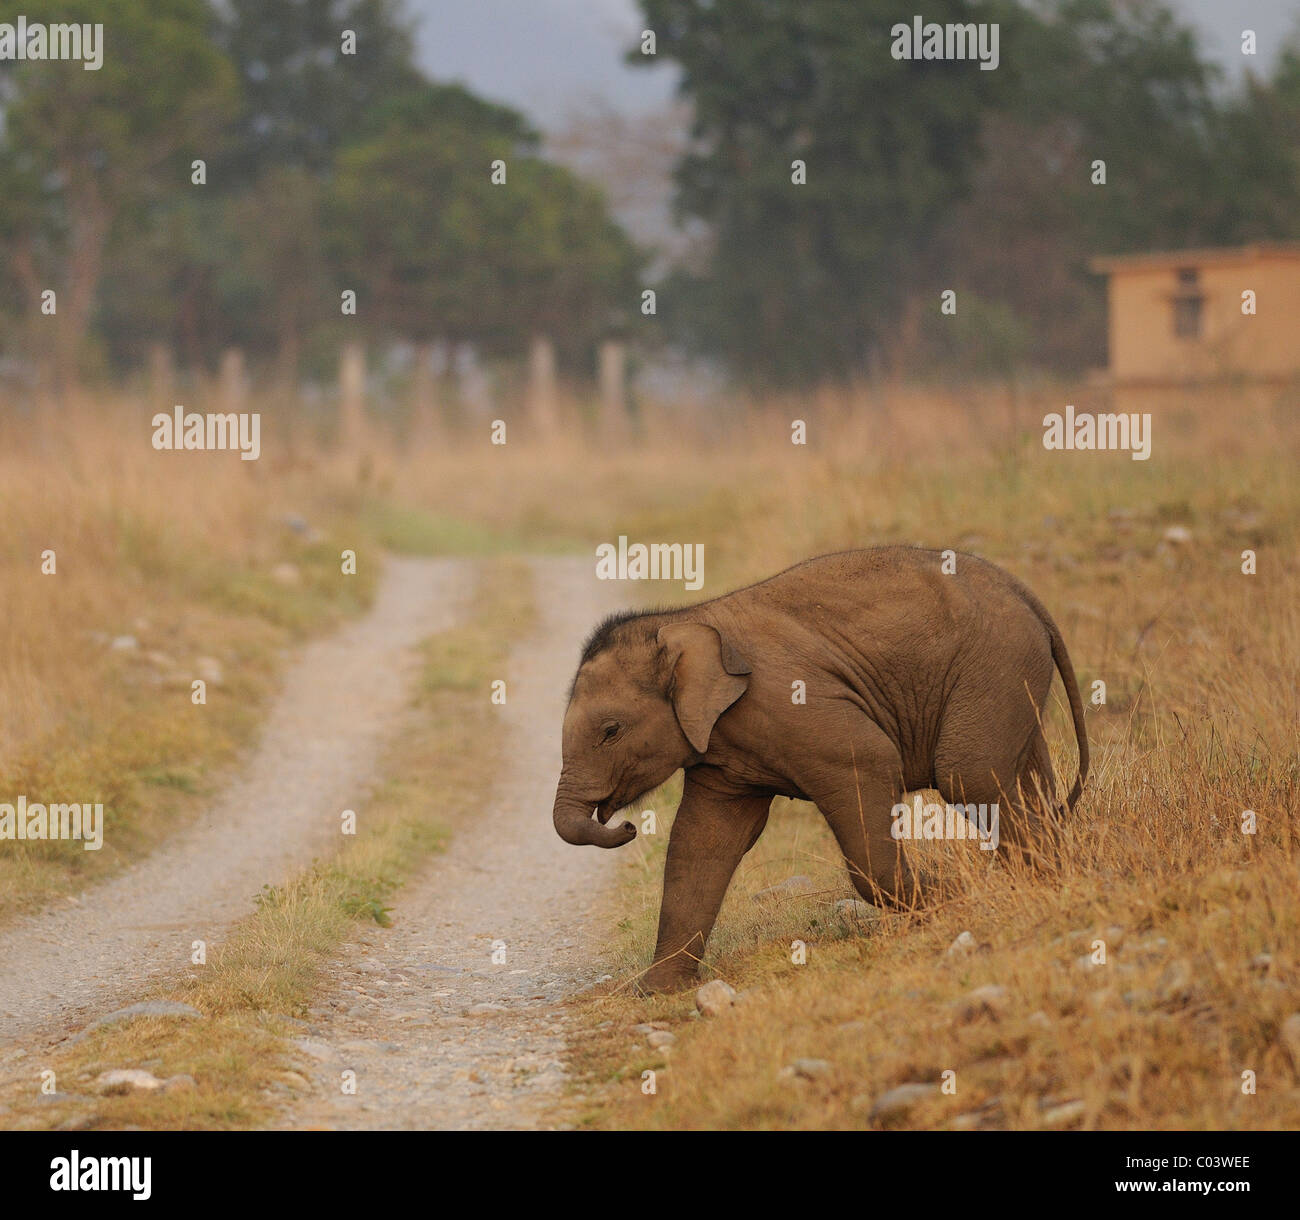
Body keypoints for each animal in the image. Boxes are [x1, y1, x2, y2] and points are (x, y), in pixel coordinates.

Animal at [551, 546, 1089, 992]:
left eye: (611, 730)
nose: (624, 827)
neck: (685, 619)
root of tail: (1024, 593)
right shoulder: (724, 752)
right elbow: (701, 840)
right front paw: (655, 992)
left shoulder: (795, 703)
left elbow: (869, 759)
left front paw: (954, 898)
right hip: (1011, 677)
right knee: (1025, 773)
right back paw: (1055, 875)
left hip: (994, 665)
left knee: (965, 772)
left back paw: (1032, 880)